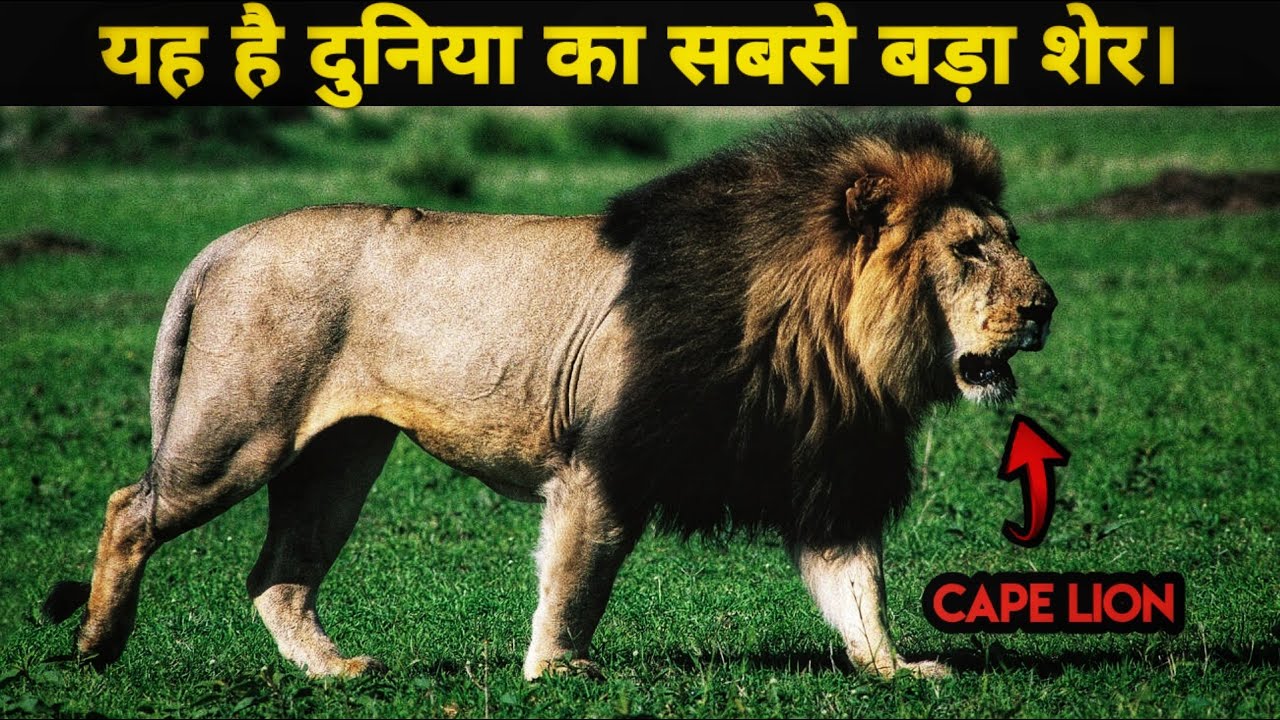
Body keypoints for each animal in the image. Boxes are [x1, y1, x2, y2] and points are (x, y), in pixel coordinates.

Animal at [45, 115, 1056, 681]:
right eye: (969, 251)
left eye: (1004, 240)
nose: (1045, 307)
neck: (825, 342)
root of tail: (229, 238)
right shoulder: (602, 463)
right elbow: (579, 575)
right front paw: (557, 673)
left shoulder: (826, 475)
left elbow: (859, 590)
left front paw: (900, 670)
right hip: (241, 430)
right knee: (129, 505)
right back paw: (96, 644)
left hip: (337, 455)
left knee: (276, 577)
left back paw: (337, 674)